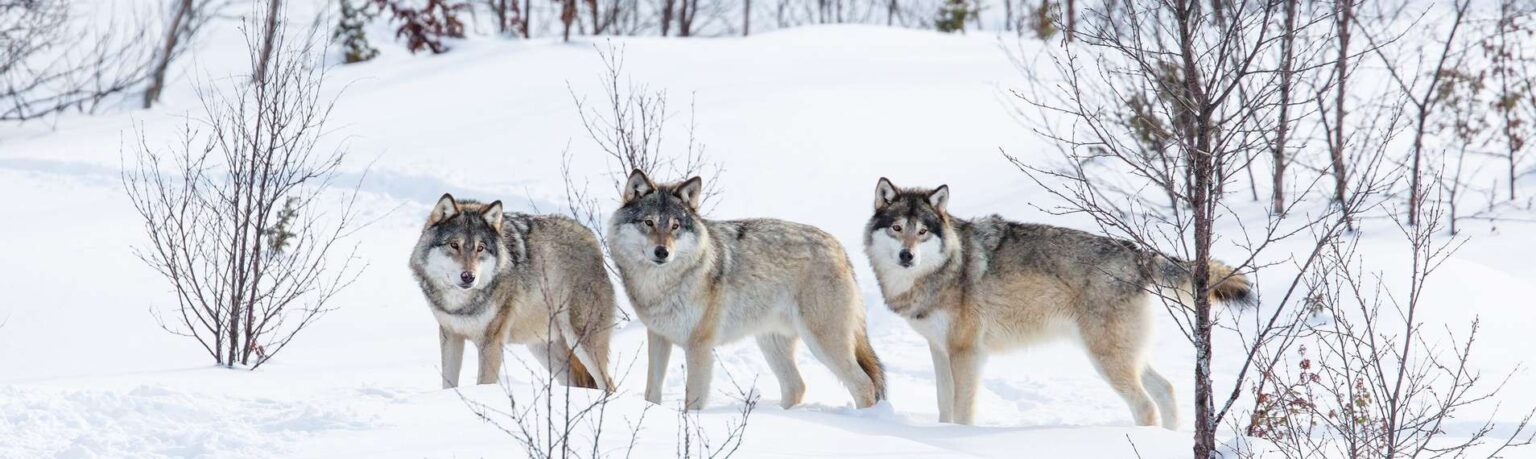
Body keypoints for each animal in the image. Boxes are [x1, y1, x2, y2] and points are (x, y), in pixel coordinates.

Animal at [410, 194, 616, 391]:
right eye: (454, 245)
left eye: (480, 248)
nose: (468, 277)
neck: (460, 304)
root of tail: (592, 239)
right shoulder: (450, 335)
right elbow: (448, 384)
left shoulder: (491, 342)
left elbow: (484, 384)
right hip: (544, 349)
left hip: (581, 341)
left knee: (608, 384)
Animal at [607, 170, 885, 410]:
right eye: (649, 222)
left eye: (675, 226)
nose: (662, 252)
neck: (661, 285)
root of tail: (839, 247)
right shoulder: (658, 337)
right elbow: (651, 392)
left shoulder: (699, 346)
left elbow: (693, 401)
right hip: (772, 343)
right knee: (797, 386)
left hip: (822, 342)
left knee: (863, 384)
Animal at [862, 178, 1251, 427]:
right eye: (897, 228)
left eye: (922, 231)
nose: (907, 256)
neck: (945, 269)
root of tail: (1136, 253)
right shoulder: (940, 350)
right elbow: (944, 405)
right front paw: (942, 435)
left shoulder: (967, 353)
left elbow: (962, 410)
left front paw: (958, 438)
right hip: (1125, 355)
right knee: (1167, 390)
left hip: (1106, 359)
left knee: (1145, 406)